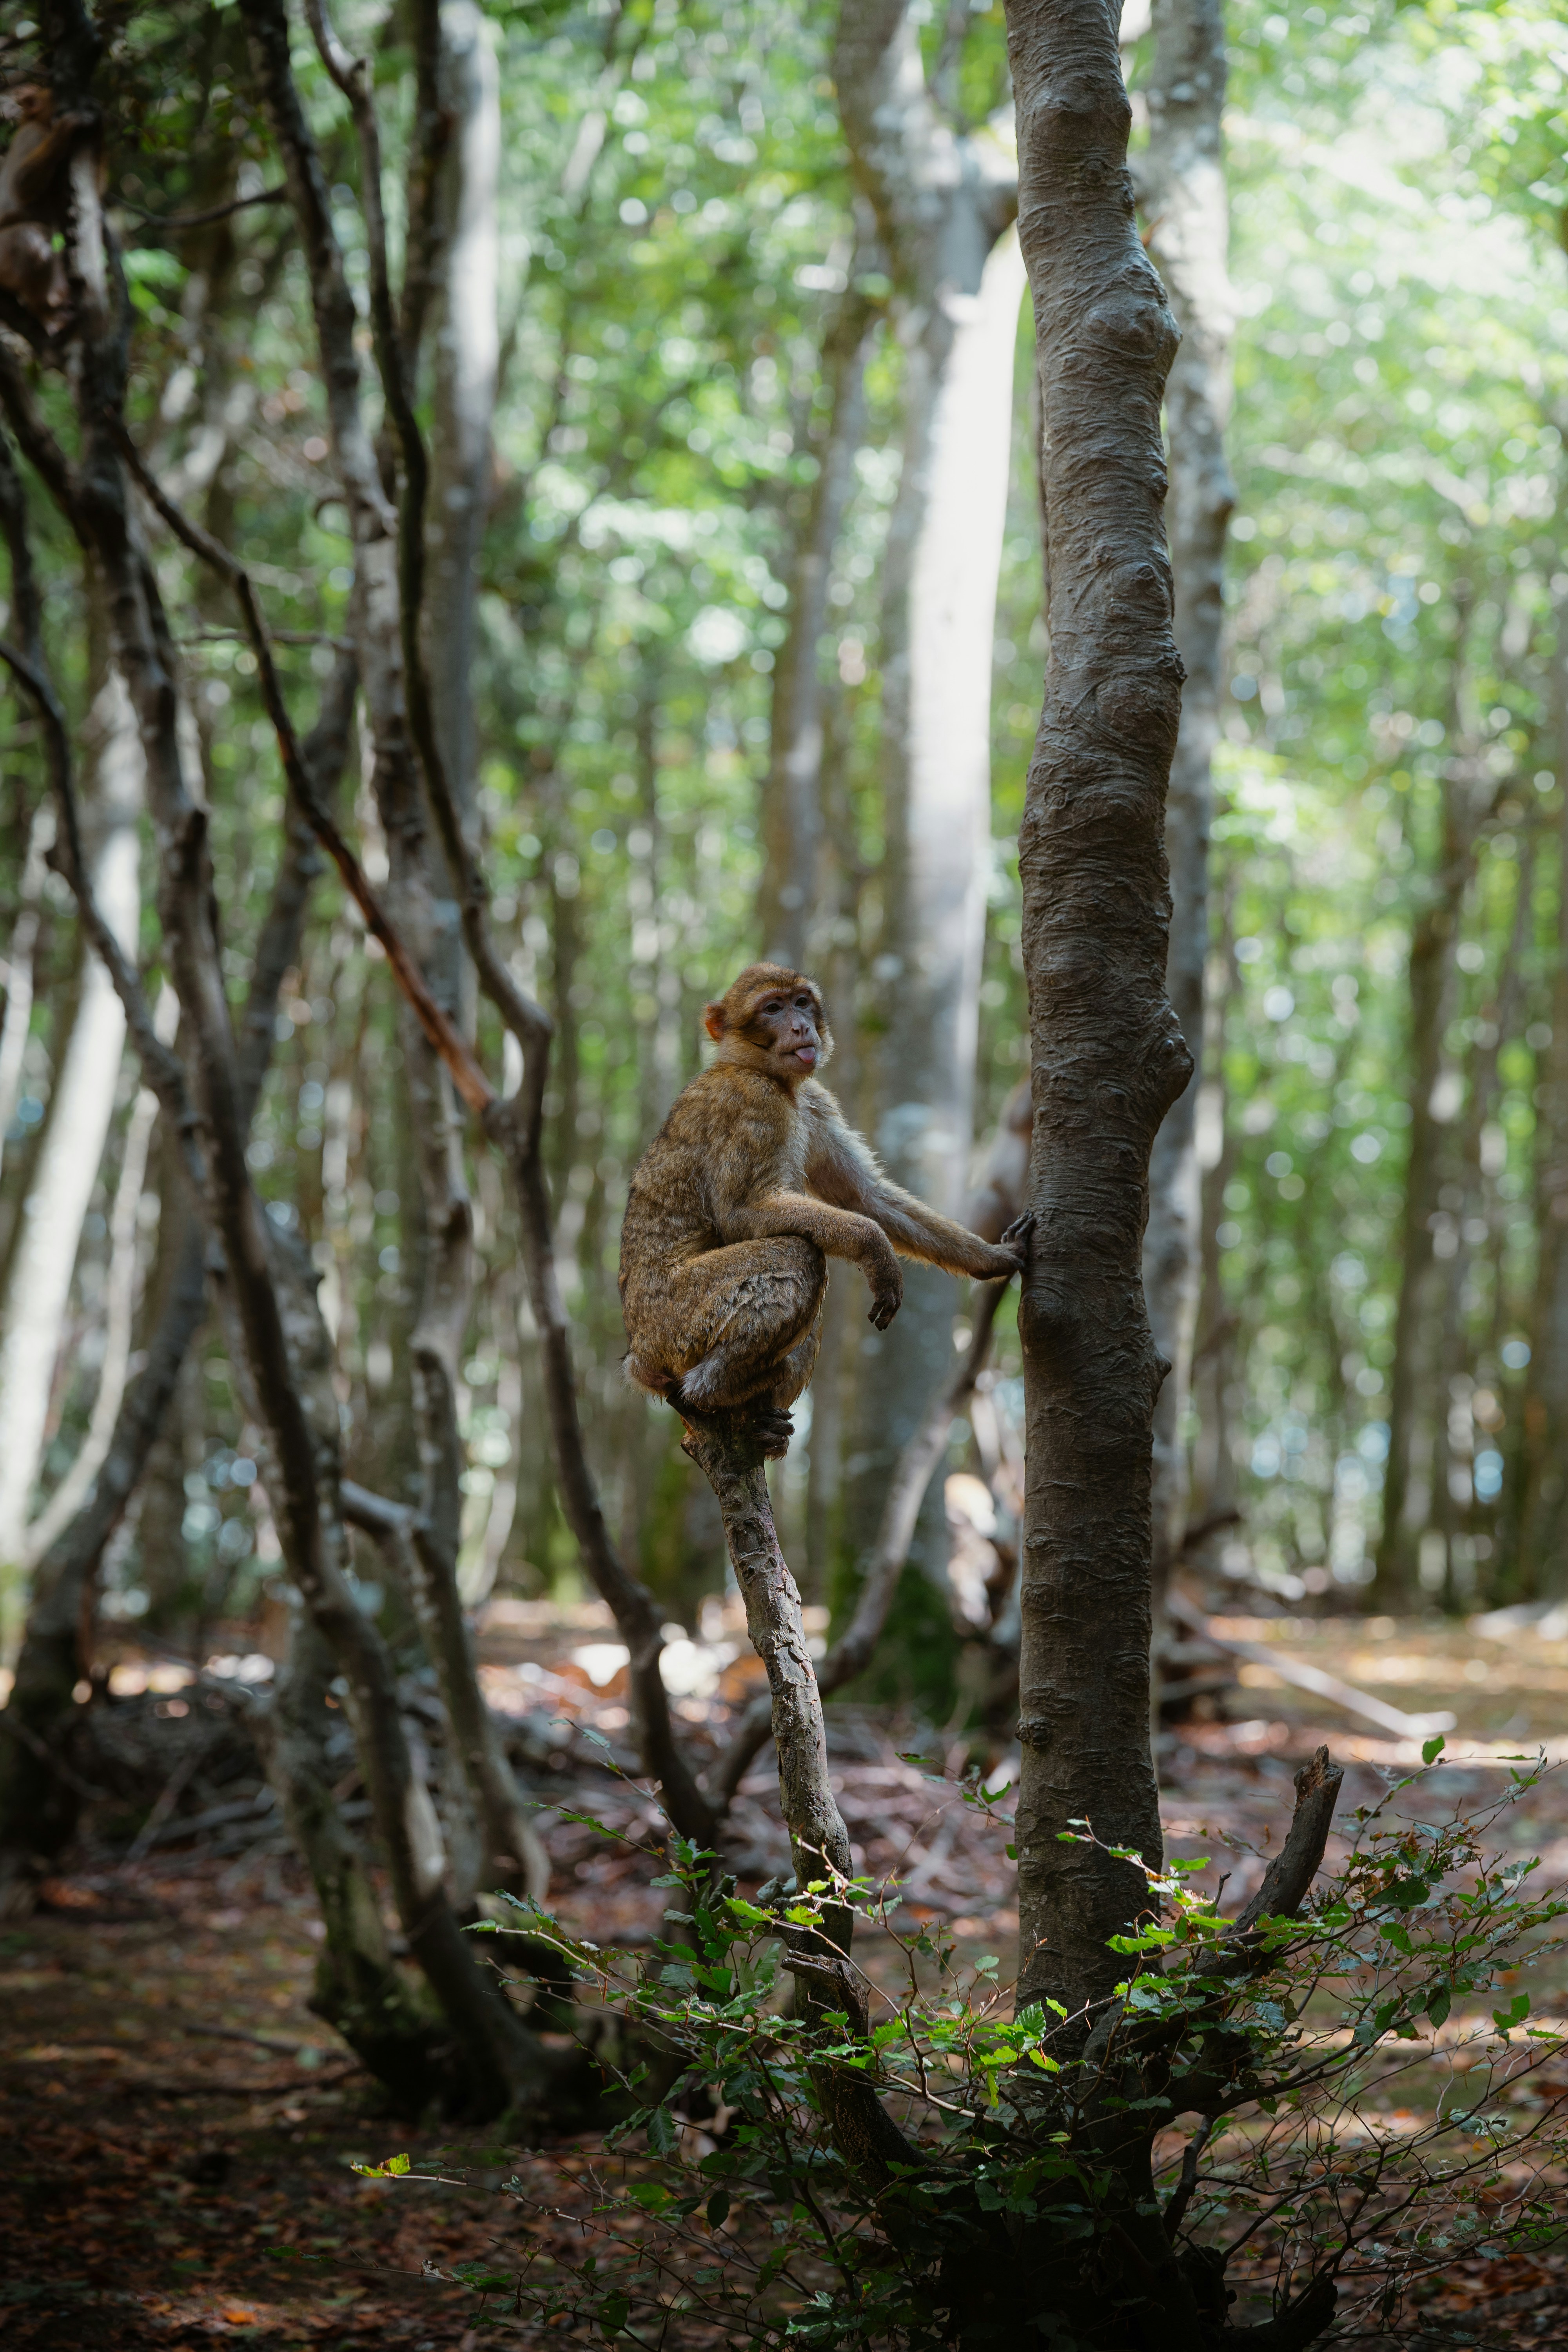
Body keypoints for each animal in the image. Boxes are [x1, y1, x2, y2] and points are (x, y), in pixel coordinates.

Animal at [618, 962, 1033, 1457]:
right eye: (772, 1009)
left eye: (801, 1002)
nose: (801, 1027)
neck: (758, 1070)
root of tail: (638, 1353)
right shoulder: (750, 1099)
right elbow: (743, 1212)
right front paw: (877, 1252)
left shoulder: (815, 1102)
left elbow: (865, 1197)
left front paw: (994, 1259)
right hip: (675, 1322)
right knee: (797, 1255)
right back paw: (714, 1388)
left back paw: (764, 1426)